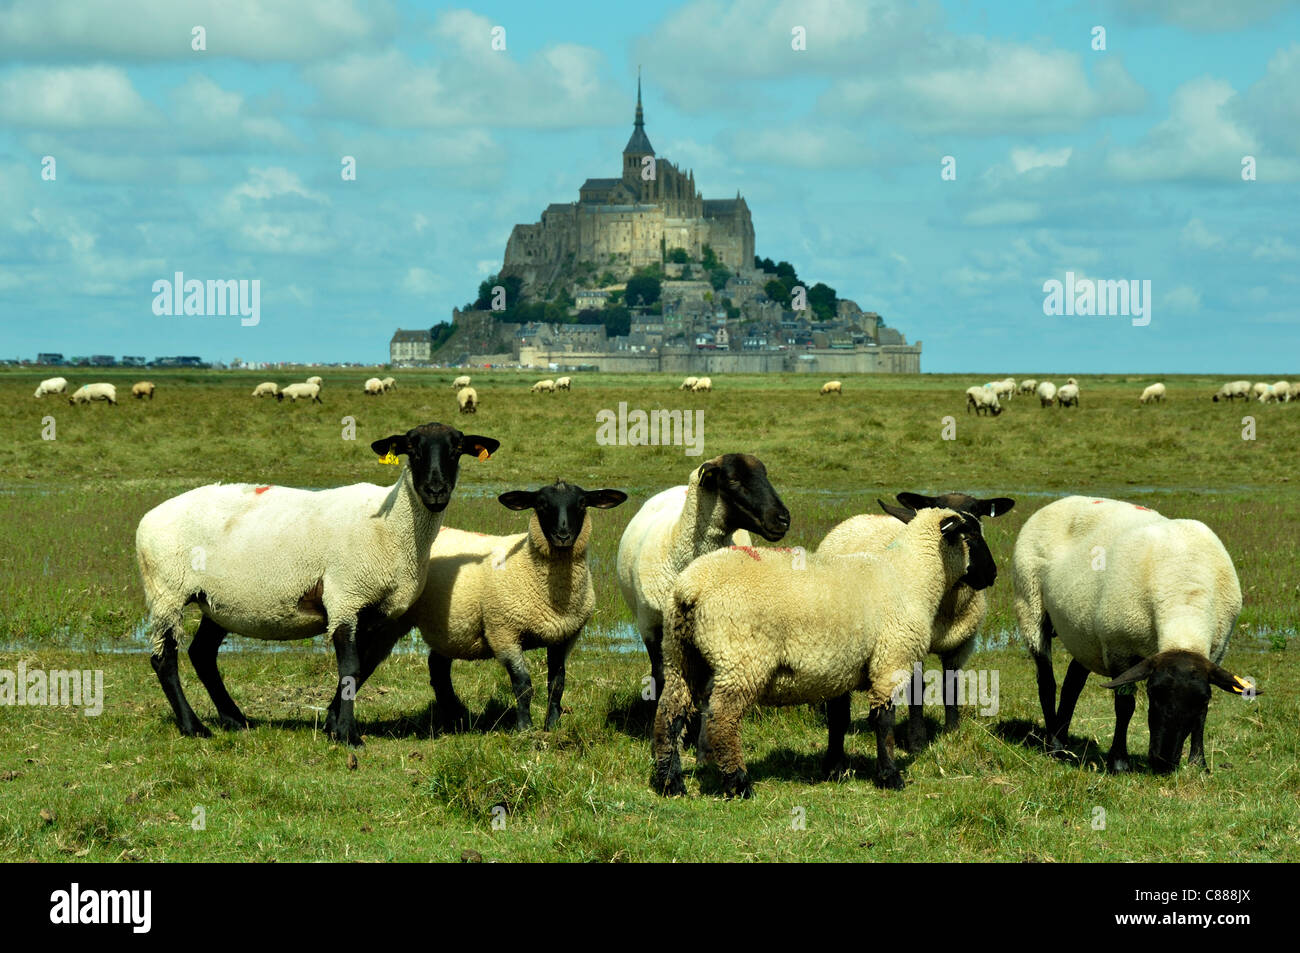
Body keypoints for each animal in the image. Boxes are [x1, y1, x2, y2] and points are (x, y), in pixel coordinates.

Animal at [134, 422, 501, 745]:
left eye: (456, 449)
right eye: (411, 449)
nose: (436, 492)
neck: (392, 528)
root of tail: (148, 518)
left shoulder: (377, 612)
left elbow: (363, 667)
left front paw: (333, 725)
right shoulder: (345, 597)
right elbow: (350, 667)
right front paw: (349, 735)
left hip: (216, 600)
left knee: (202, 654)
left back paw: (235, 719)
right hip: (166, 590)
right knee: (164, 660)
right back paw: (193, 727)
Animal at [364, 482, 628, 732]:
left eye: (582, 503)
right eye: (541, 504)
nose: (563, 536)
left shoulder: (565, 636)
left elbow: (557, 684)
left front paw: (551, 726)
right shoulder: (503, 631)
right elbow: (523, 684)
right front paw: (525, 728)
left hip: (449, 627)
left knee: (438, 668)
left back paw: (455, 715)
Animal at [653, 502, 997, 797]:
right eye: (971, 536)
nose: (992, 574)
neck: (911, 577)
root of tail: (691, 588)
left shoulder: (838, 670)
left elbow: (838, 721)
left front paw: (834, 769)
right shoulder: (891, 659)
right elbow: (883, 721)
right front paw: (890, 776)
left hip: (680, 654)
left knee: (670, 712)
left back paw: (669, 783)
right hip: (741, 660)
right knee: (722, 719)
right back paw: (738, 783)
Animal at [817, 491, 1015, 749]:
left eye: (978, 512)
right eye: (965, 533)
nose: (992, 573)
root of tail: (856, 518)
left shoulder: (960, 646)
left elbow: (950, 687)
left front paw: (952, 731)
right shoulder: (910, 643)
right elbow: (916, 690)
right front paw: (917, 739)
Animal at [1013, 495, 1252, 774]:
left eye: (1202, 699)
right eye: (1153, 693)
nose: (1163, 762)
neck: (1185, 594)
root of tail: (1063, 500)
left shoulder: (1214, 656)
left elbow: (1202, 718)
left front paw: (1198, 763)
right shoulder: (1120, 649)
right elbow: (1125, 707)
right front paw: (1119, 761)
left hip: (1087, 636)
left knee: (1073, 682)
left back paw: (1061, 740)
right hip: (1029, 604)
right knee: (1047, 681)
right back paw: (1054, 742)